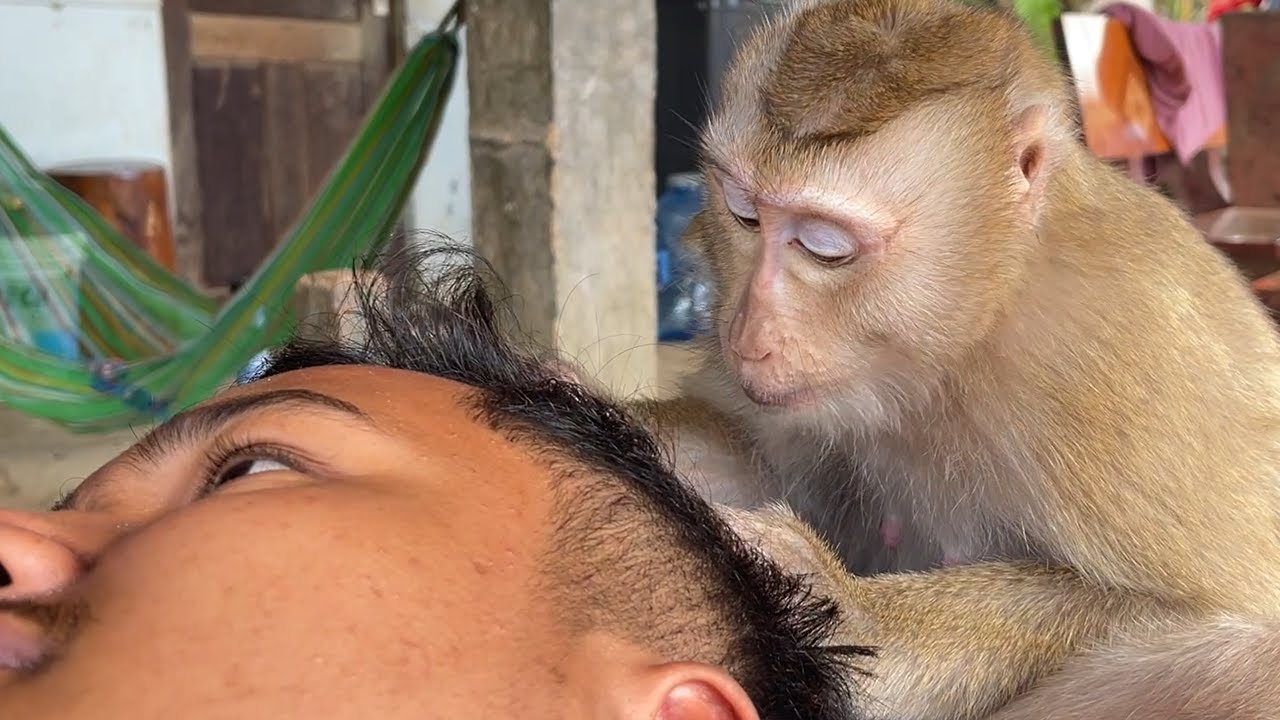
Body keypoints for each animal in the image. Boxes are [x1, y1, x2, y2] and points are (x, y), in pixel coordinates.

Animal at [630, 0, 1280, 717]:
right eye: (744, 214)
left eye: (824, 246)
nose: (748, 335)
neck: (975, 326)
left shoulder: (1115, 367)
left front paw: (842, 608)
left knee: (1246, 660)